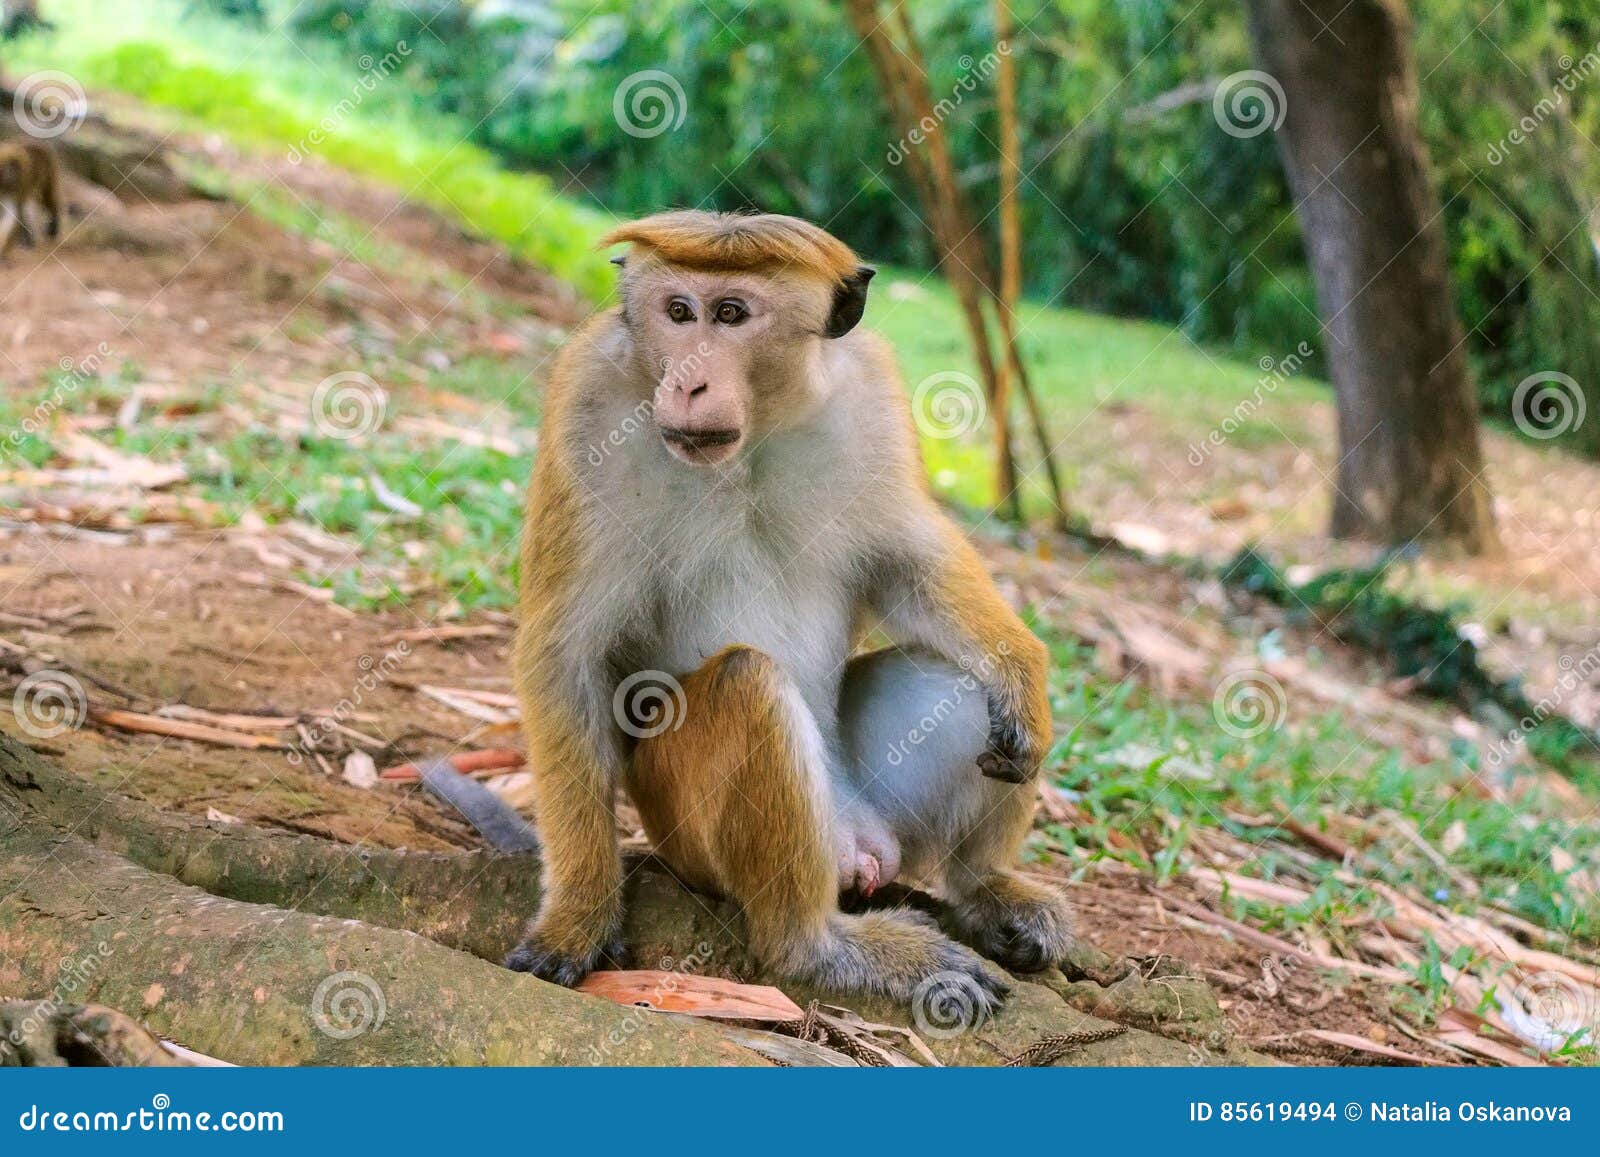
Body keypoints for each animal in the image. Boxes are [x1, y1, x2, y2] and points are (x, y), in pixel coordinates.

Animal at [506, 210, 1079, 1014]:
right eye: (677, 312)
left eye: (730, 314)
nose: (686, 380)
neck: (759, 435)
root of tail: (856, 844)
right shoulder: (587, 404)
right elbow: (568, 656)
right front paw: (578, 919)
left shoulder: (870, 390)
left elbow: (907, 559)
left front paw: (1023, 674)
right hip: (687, 833)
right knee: (746, 683)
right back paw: (822, 945)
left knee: (962, 687)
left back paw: (985, 888)